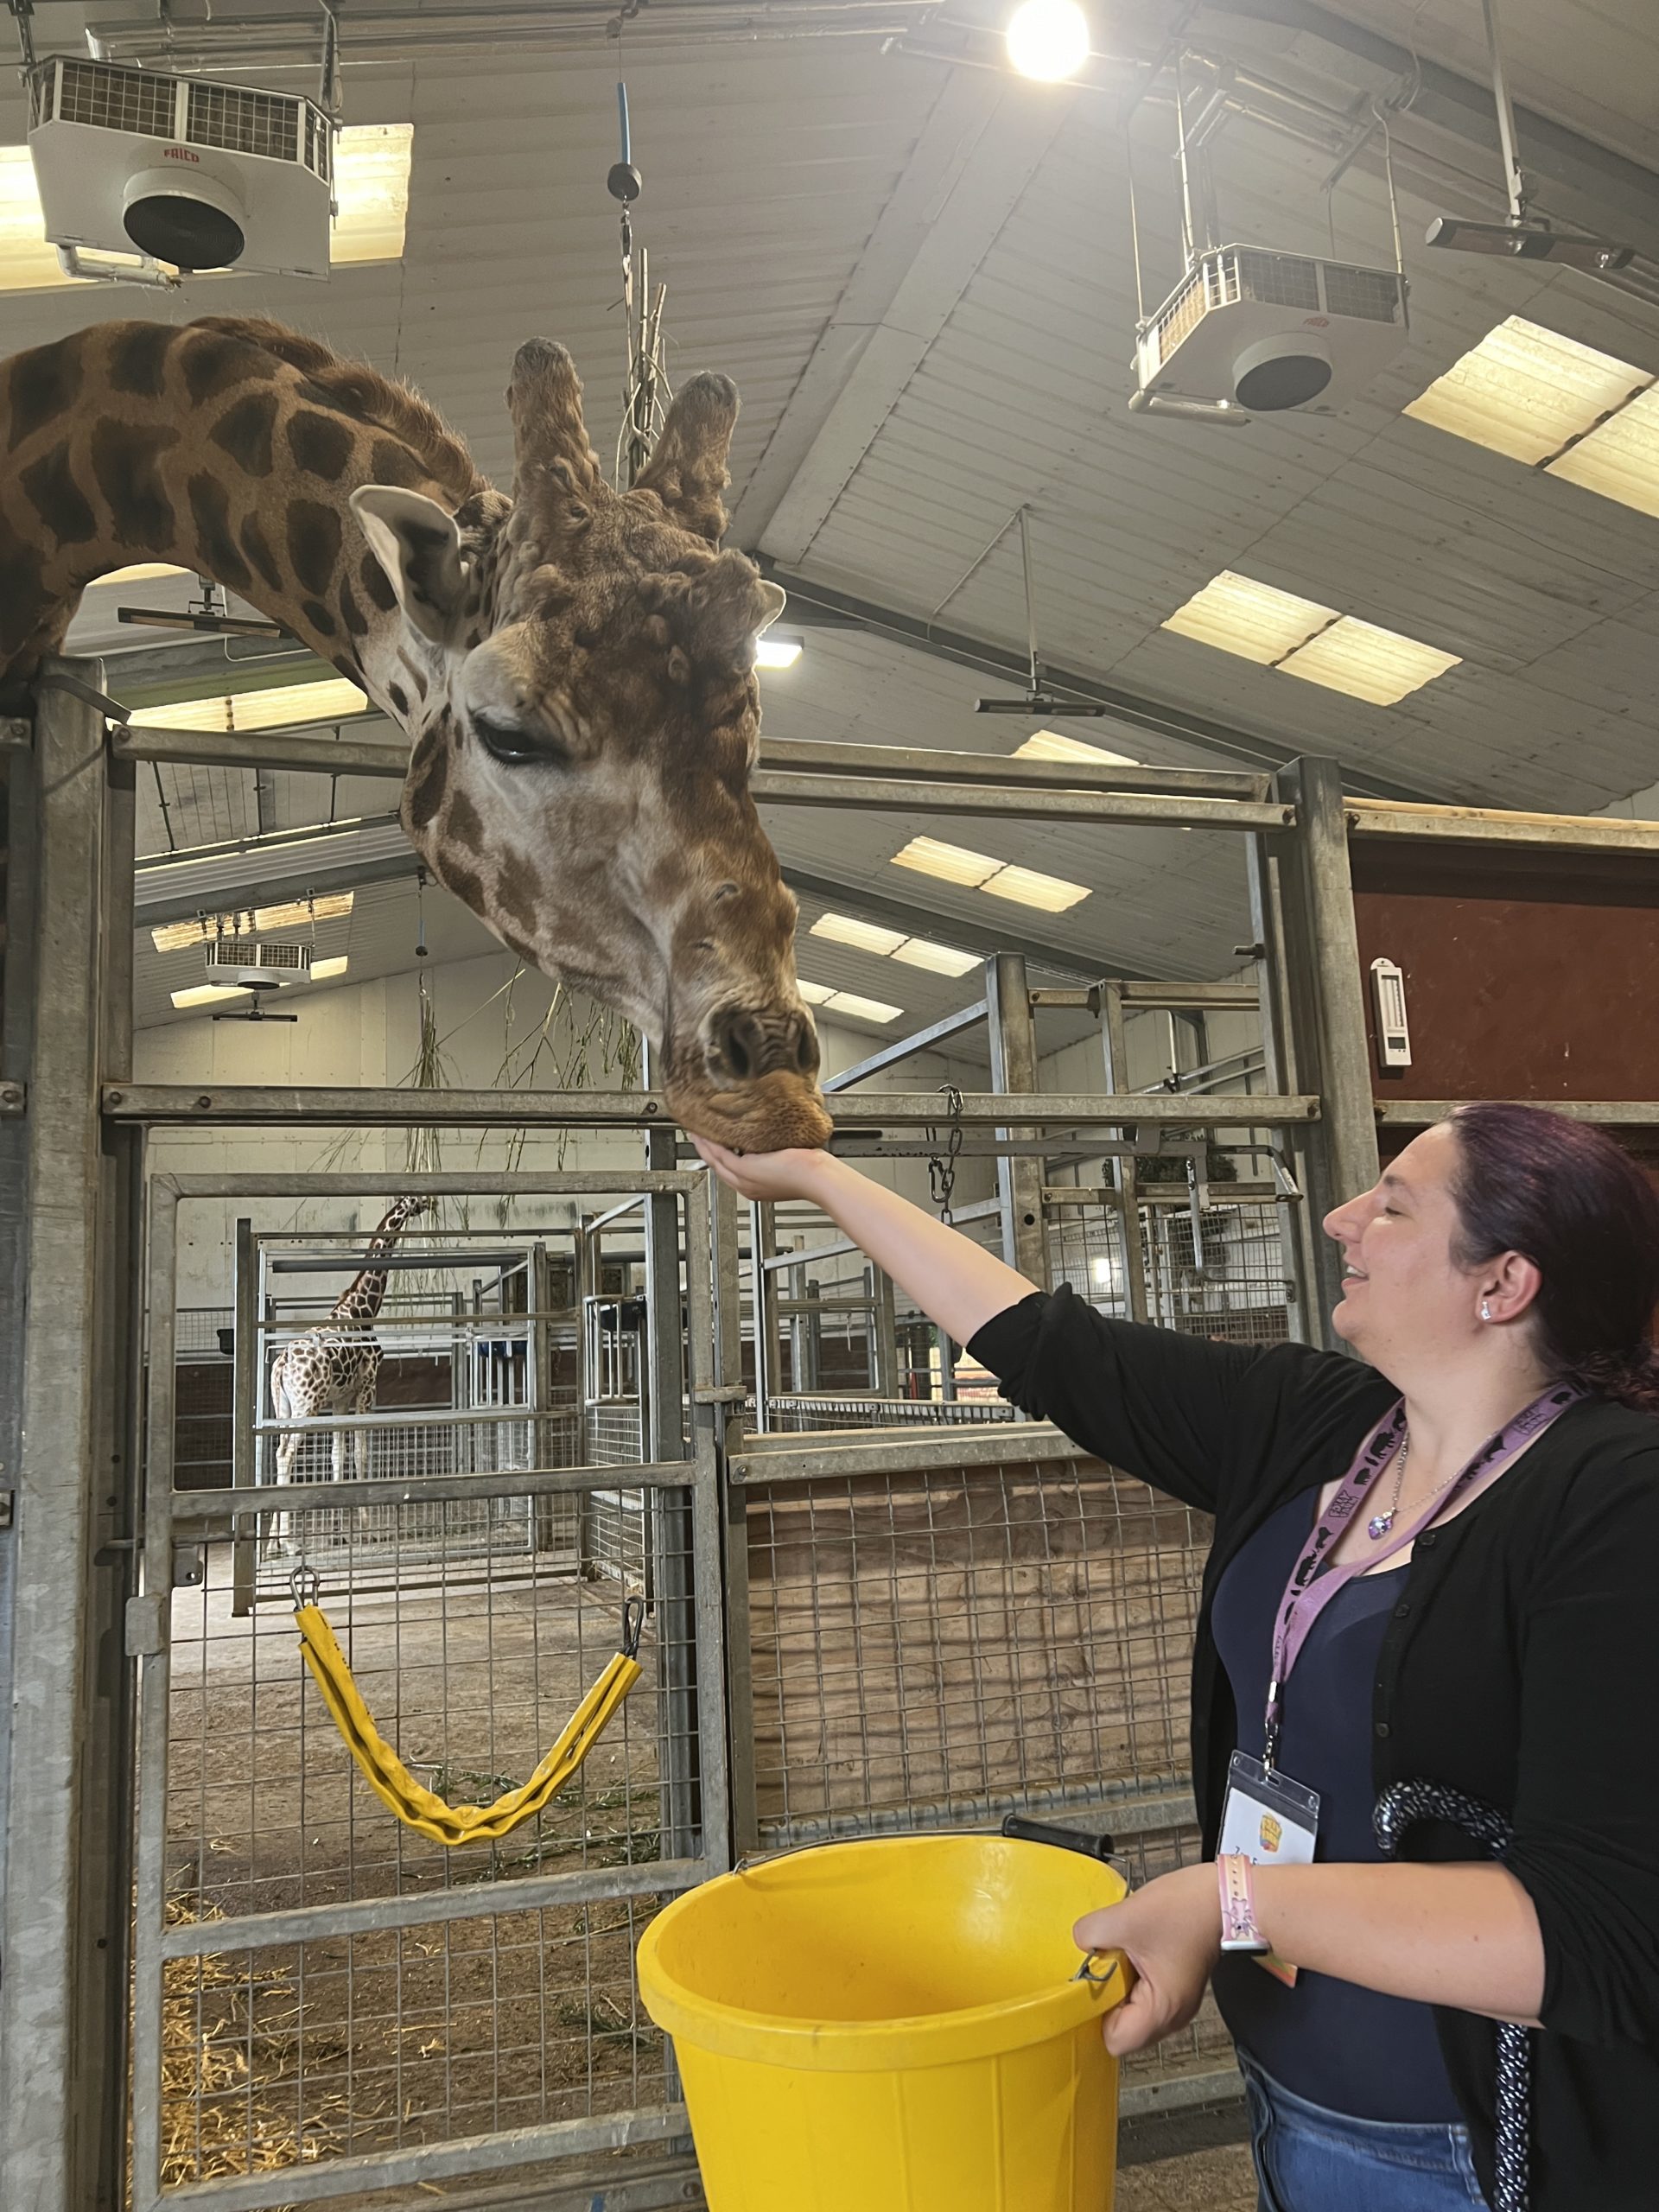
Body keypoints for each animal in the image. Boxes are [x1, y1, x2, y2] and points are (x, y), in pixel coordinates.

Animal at [269, 1194, 430, 1514]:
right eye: (415, 1199)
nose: (431, 1201)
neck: (362, 1308)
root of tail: (283, 1363)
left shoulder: (340, 1398)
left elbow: (337, 1455)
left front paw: (339, 1518)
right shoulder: (368, 1386)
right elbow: (361, 1453)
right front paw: (365, 1518)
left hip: (283, 1407)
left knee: (280, 1452)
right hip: (306, 1406)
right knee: (288, 1454)